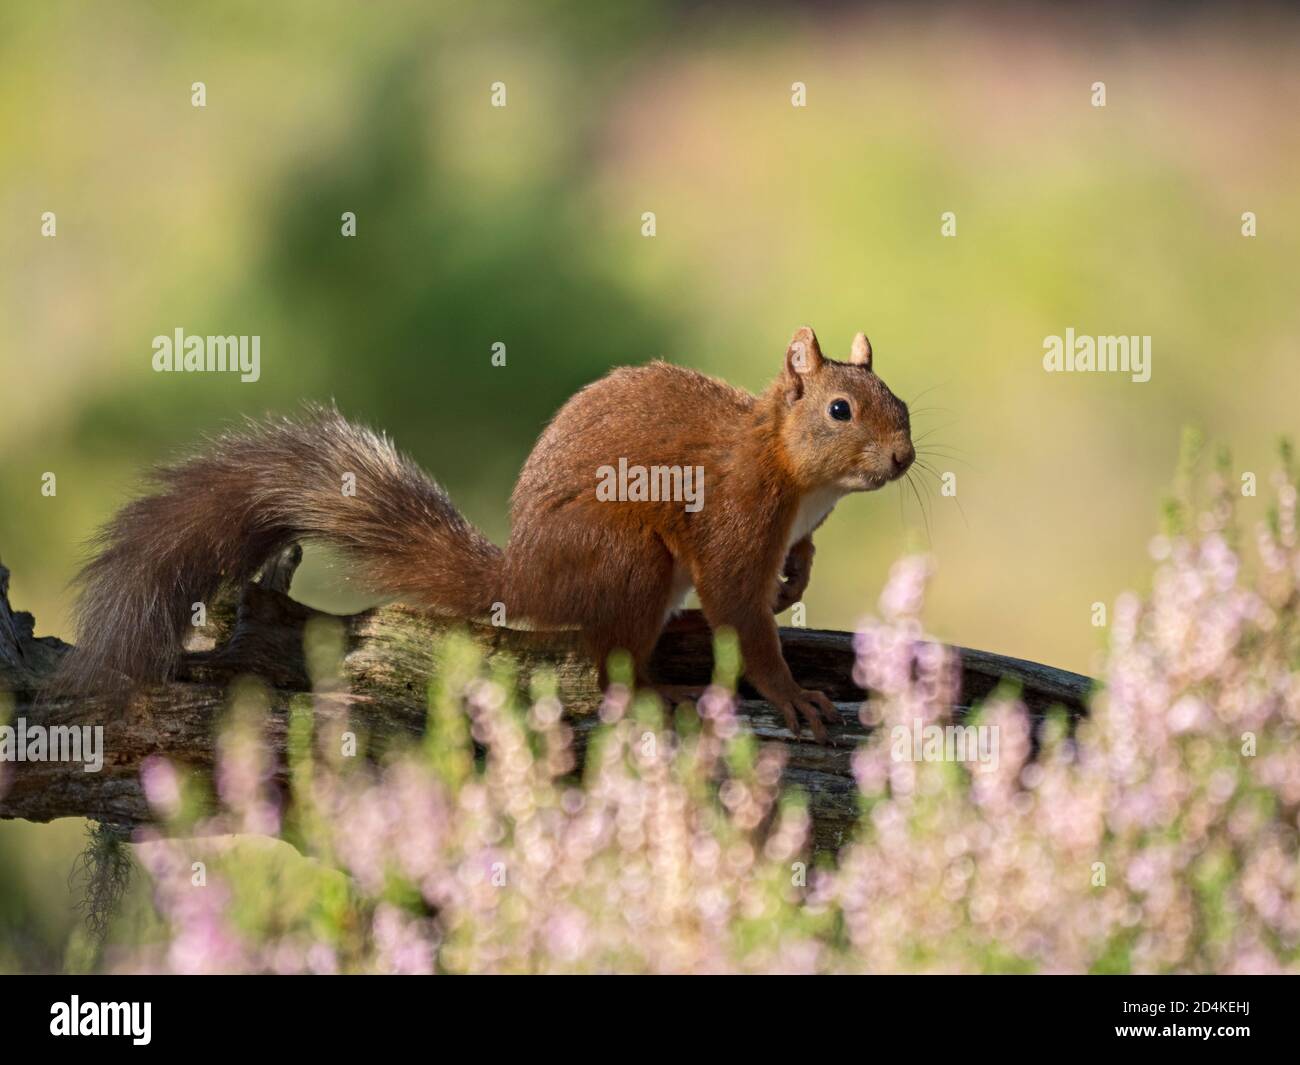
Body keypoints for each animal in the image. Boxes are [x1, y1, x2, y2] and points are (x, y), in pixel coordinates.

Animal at [60, 326, 914, 743]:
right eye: (840, 409)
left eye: (899, 398)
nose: (904, 457)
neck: (794, 471)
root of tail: (525, 577)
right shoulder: (737, 516)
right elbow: (741, 608)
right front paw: (793, 694)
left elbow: (786, 568)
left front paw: (798, 573)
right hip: (629, 556)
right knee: (609, 666)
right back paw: (658, 688)